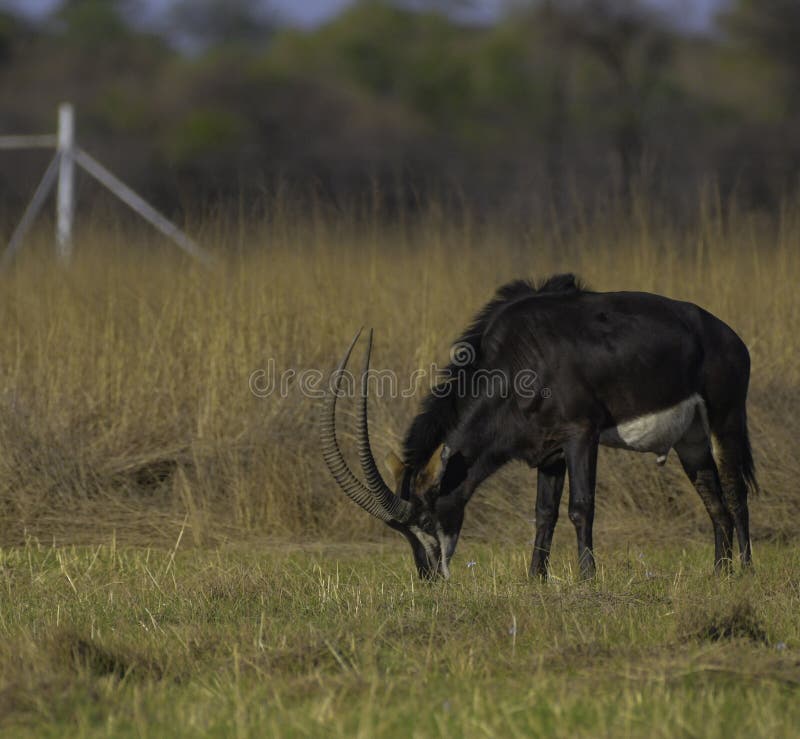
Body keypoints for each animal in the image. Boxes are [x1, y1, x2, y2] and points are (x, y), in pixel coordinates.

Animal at [321, 275, 756, 580]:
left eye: (426, 521)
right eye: (404, 532)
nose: (429, 577)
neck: (520, 359)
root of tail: (730, 338)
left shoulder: (581, 435)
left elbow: (580, 507)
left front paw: (587, 577)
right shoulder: (550, 452)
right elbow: (544, 512)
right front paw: (536, 577)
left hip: (727, 418)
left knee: (735, 491)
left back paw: (746, 571)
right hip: (691, 441)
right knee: (714, 498)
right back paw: (719, 572)